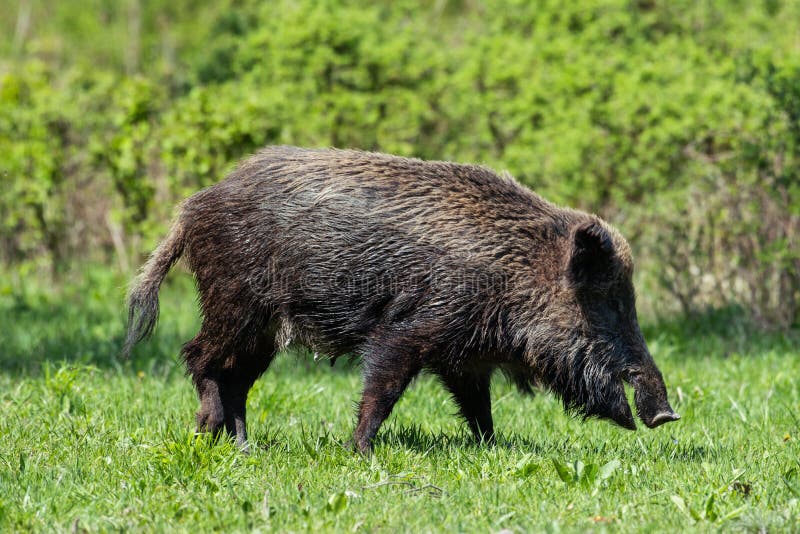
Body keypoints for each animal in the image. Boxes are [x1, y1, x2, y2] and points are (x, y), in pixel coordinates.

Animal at [124, 146, 679, 453]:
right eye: (608, 302)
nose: (667, 414)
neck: (511, 276)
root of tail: (192, 208)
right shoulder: (408, 330)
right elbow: (384, 390)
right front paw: (361, 453)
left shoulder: (465, 357)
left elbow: (479, 407)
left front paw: (492, 449)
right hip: (236, 303)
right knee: (199, 358)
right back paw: (209, 434)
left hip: (263, 330)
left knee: (236, 377)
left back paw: (243, 447)